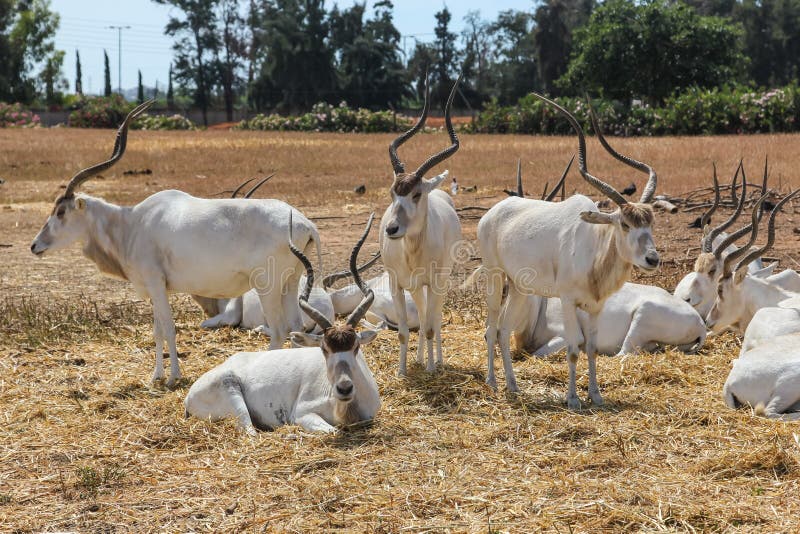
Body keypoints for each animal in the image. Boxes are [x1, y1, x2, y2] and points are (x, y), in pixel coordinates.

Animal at [30, 101, 320, 386]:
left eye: (61, 212)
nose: (35, 246)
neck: (132, 223)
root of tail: (304, 223)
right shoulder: (157, 288)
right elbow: (157, 330)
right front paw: (156, 376)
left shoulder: (155, 282)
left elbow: (168, 328)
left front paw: (172, 378)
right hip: (290, 282)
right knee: (296, 326)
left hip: (267, 286)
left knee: (280, 329)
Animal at [184, 214, 381, 434]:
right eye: (324, 349)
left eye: (356, 347)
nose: (344, 388)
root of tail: (188, 396)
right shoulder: (302, 413)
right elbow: (334, 429)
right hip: (231, 390)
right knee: (251, 433)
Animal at [380, 75, 462, 375]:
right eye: (393, 193)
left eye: (416, 194)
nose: (392, 229)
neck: (412, 251)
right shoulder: (397, 284)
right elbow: (405, 331)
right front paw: (403, 370)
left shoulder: (436, 282)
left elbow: (429, 326)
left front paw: (430, 370)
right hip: (416, 286)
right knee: (424, 310)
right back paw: (418, 358)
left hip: (440, 281)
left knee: (434, 317)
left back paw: (435, 360)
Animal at [477, 95, 659, 407]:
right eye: (624, 224)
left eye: (650, 222)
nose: (652, 258)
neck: (594, 246)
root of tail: (492, 213)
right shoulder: (567, 301)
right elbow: (574, 349)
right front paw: (573, 399)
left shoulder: (595, 306)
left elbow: (592, 348)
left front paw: (596, 395)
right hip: (494, 275)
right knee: (491, 329)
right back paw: (493, 382)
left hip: (518, 287)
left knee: (503, 330)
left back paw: (513, 385)